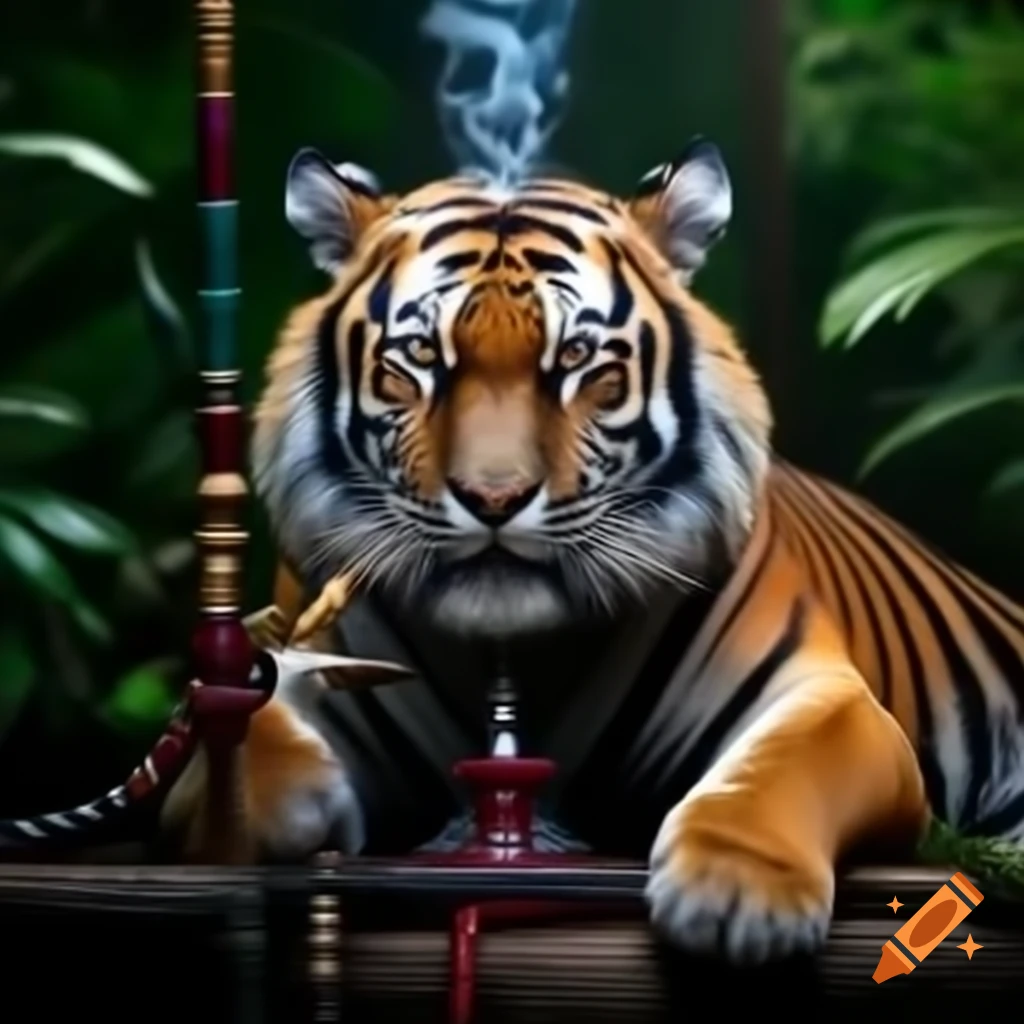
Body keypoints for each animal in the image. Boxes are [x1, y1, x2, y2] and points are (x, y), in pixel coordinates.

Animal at [164, 136, 1024, 965]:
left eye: (575, 361)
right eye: (421, 358)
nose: (495, 498)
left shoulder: (827, 698)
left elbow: (782, 761)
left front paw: (737, 891)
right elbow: (243, 739)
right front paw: (262, 807)